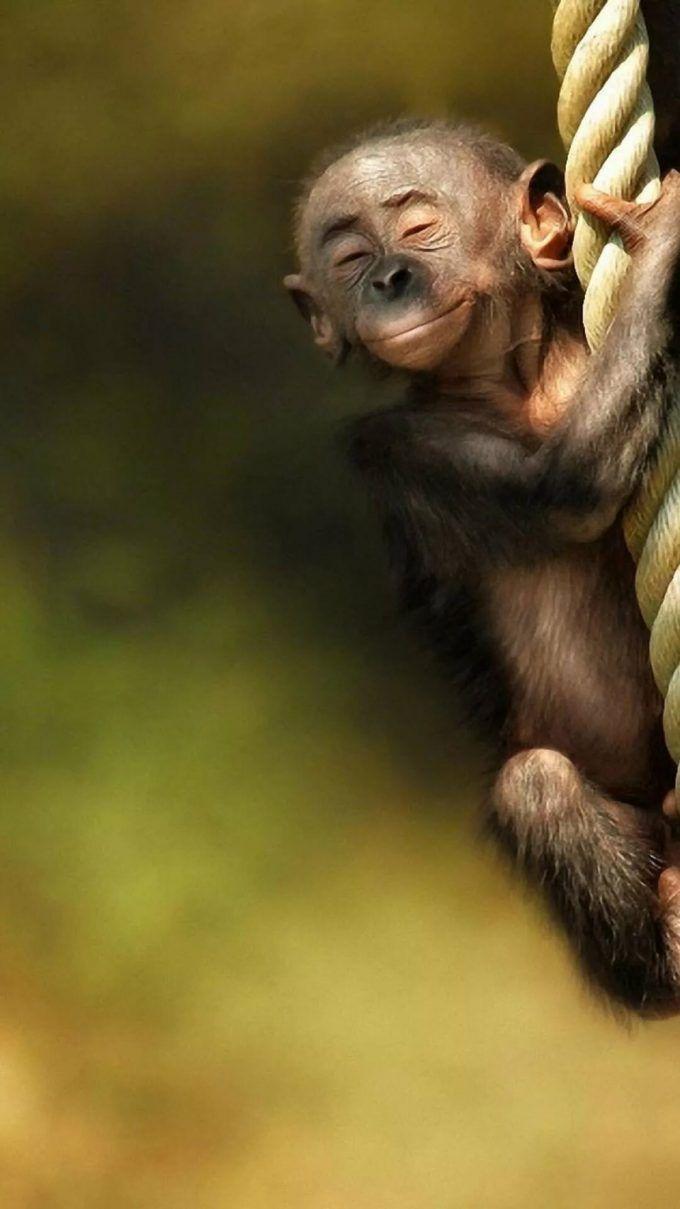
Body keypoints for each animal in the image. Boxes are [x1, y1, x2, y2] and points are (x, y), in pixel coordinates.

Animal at [283, 112, 680, 1016]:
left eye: (419, 227)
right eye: (348, 256)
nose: (389, 277)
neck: (516, 379)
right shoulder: (397, 448)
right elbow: (563, 487)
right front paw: (658, 249)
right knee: (536, 789)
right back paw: (670, 943)